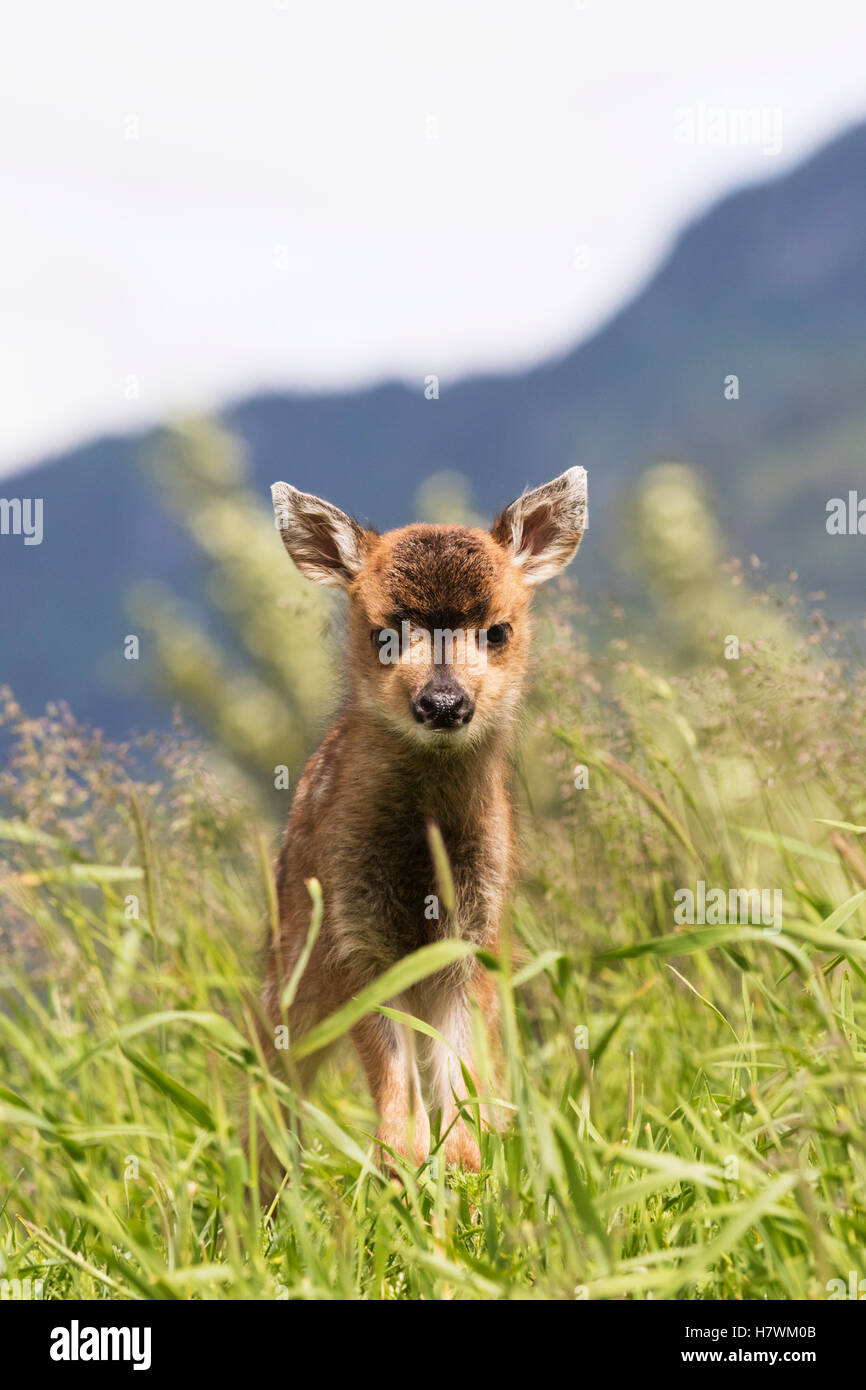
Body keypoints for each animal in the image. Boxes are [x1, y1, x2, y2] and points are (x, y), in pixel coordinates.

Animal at [261, 466, 587, 1177]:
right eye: (385, 632)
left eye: (497, 630)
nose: (442, 702)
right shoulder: (355, 939)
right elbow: (393, 1080)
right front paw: (399, 1164)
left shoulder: (475, 937)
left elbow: (463, 1077)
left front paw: (466, 1164)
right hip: (289, 974)